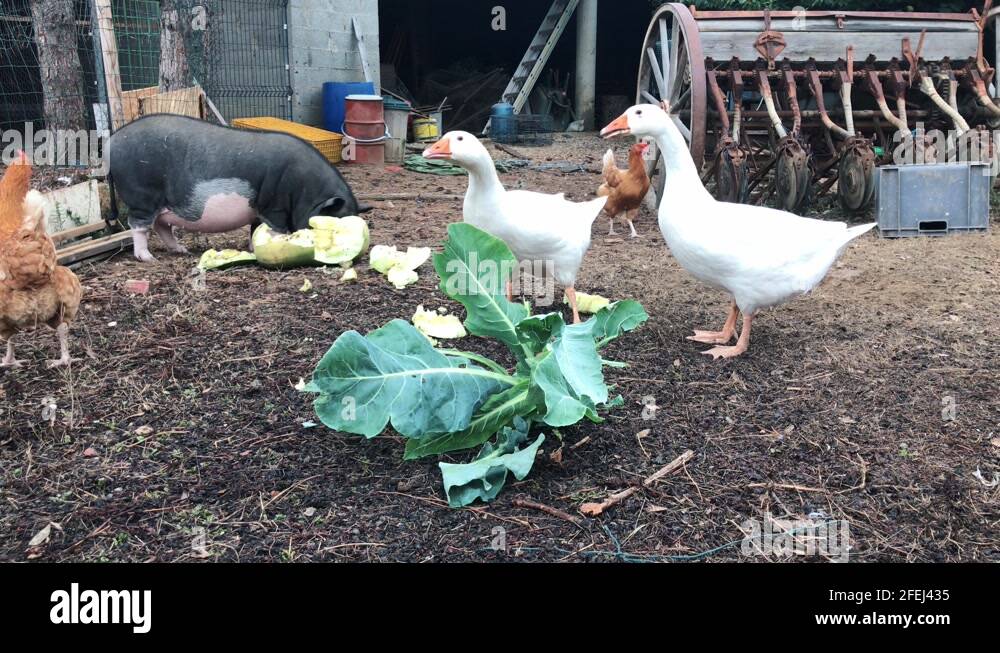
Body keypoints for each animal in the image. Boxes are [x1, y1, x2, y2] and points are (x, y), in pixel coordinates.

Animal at [107, 114, 368, 262]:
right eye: (334, 223)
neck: (306, 191)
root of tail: (112, 140)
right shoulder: (274, 205)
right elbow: (276, 228)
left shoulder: (259, 209)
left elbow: (254, 229)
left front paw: (253, 248)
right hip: (141, 195)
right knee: (139, 225)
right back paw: (148, 258)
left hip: (163, 203)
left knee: (162, 225)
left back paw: (181, 251)